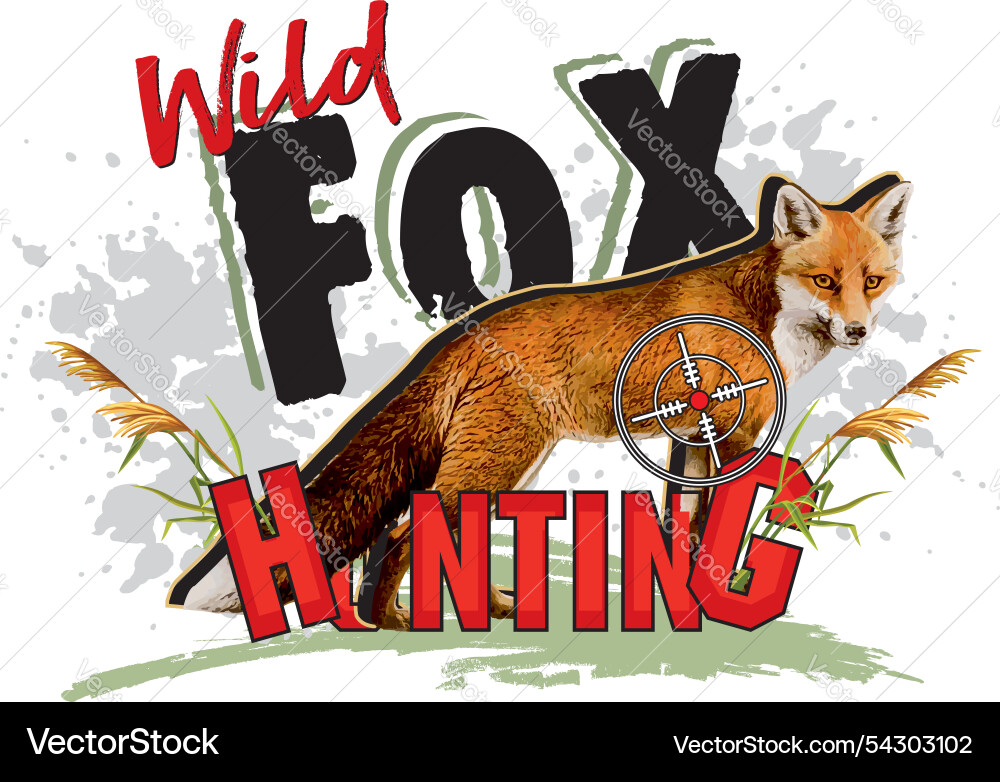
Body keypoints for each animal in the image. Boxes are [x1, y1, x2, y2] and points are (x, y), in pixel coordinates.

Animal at [178, 178, 911, 630]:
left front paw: (683, 599)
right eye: (825, 281)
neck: (763, 315)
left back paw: (467, 611)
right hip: (495, 464)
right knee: (407, 533)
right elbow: (716, 527)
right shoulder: (730, 436)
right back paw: (388, 625)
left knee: (430, 536)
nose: (857, 332)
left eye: (873, 281)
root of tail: (464, 334)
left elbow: (687, 526)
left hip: (507, 469)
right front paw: (717, 598)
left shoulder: (695, 438)